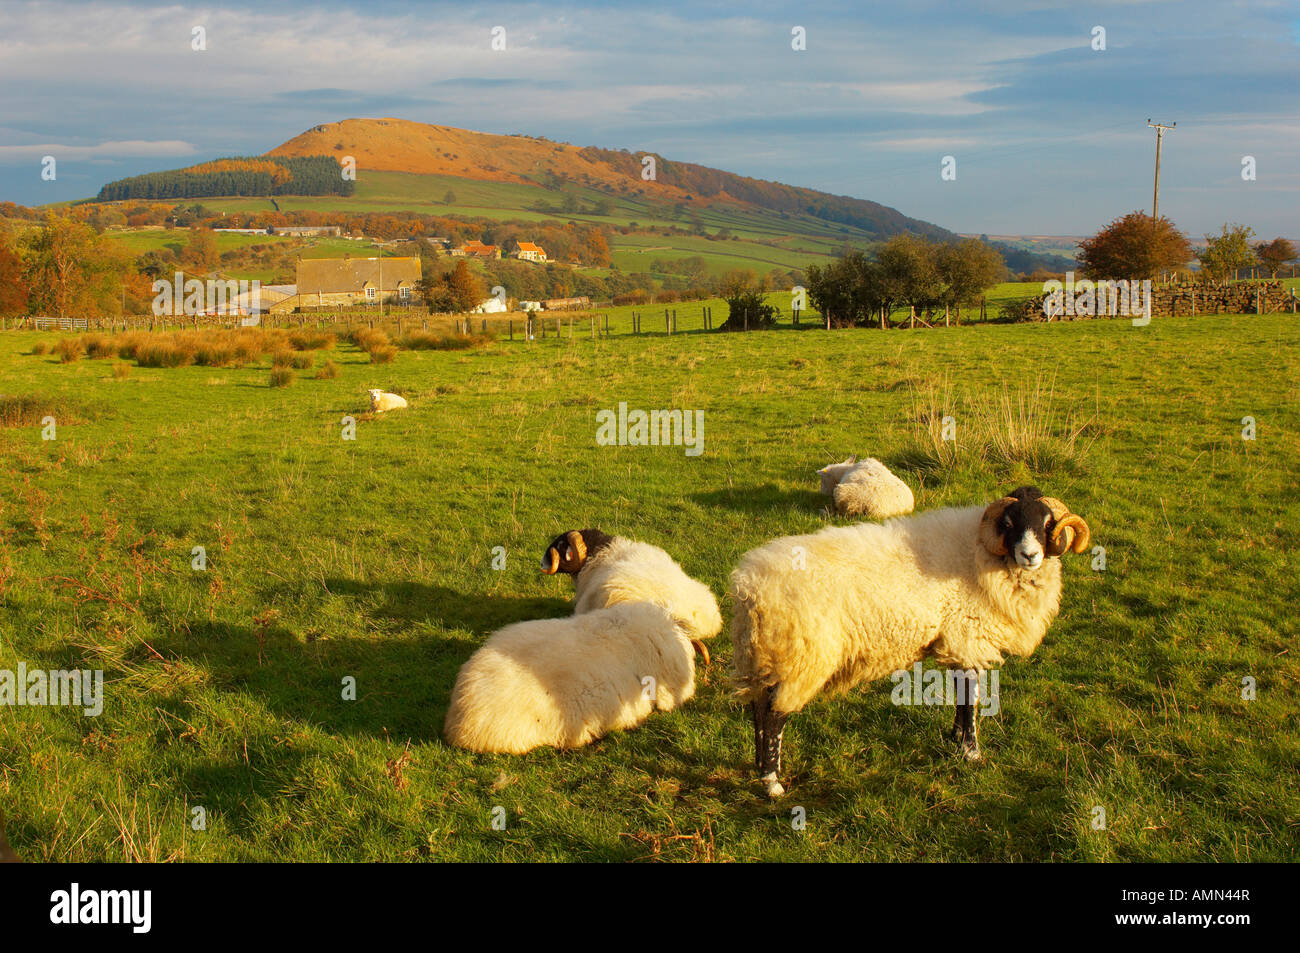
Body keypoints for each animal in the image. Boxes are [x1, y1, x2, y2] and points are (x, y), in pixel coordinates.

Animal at [730, 486, 1091, 797]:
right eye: (1009, 523)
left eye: (1046, 523)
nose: (1030, 555)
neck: (980, 553)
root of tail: (750, 587)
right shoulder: (969, 637)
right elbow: (972, 698)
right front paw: (972, 751)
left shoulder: (955, 640)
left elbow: (960, 695)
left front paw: (955, 737)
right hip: (802, 656)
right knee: (774, 715)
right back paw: (772, 783)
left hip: (768, 656)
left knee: (758, 707)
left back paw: (759, 767)